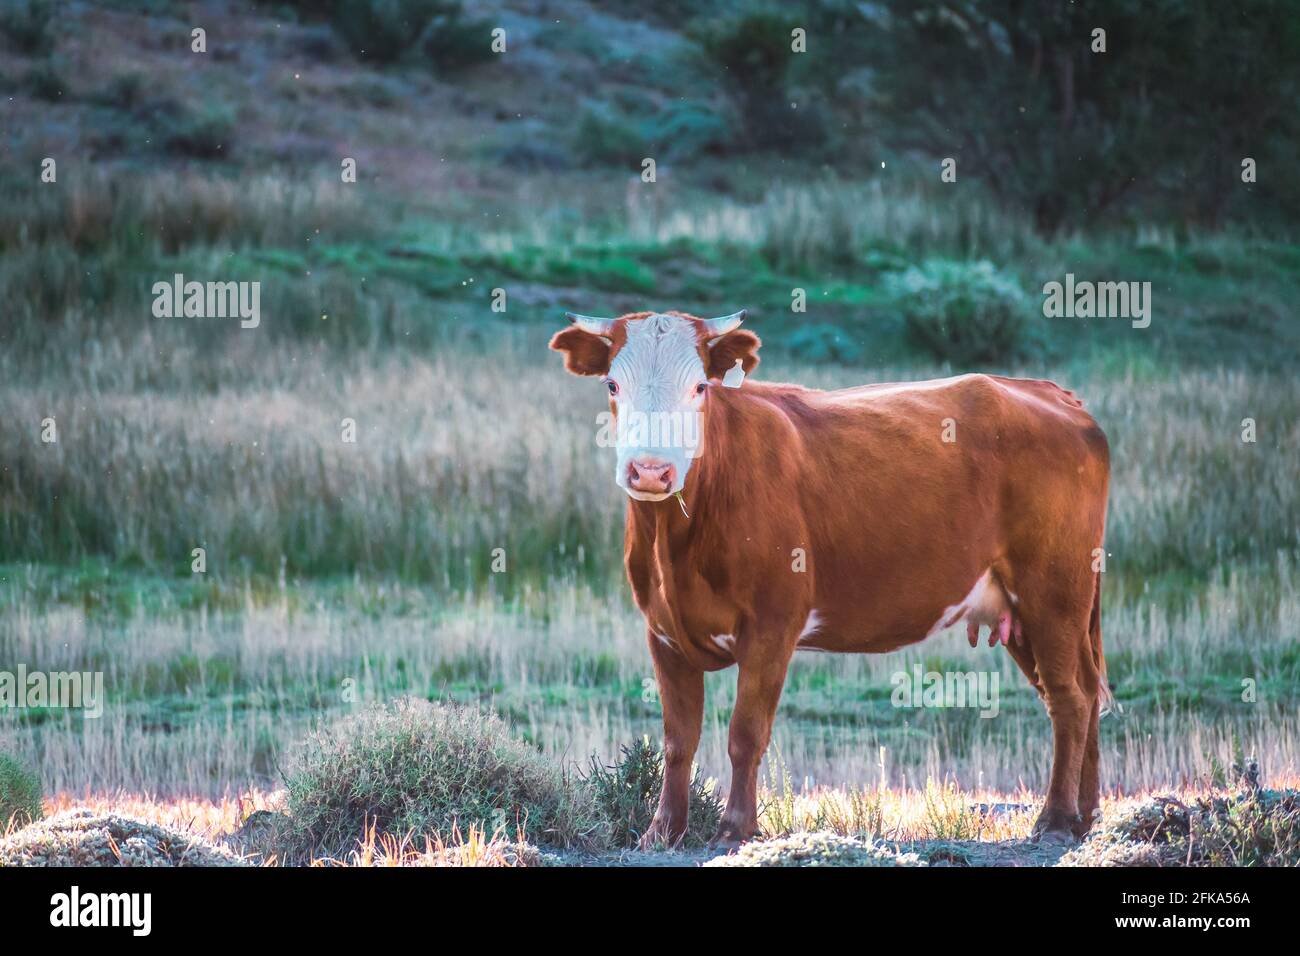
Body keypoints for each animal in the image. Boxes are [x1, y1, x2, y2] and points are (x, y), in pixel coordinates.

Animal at [550, 309, 1112, 849]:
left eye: (700, 387)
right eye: (612, 386)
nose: (650, 471)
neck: (677, 541)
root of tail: (1052, 394)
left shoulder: (772, 625)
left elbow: (745, 733)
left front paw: (734, 828)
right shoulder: (663, 630)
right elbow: (677, 740)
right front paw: (662, 831)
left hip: (1053, 592)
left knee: (1069, 698)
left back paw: (1056, 821)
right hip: (1024, 609)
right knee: (1083, 690)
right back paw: (1084, 817)